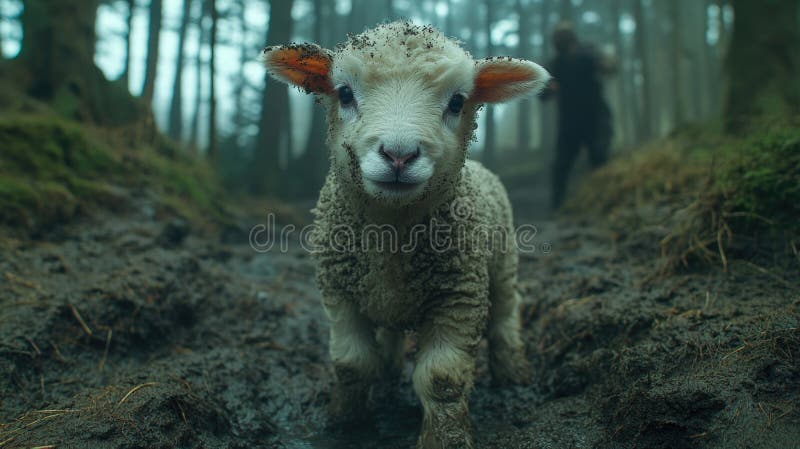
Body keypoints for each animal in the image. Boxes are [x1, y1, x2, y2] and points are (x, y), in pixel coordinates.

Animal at [262, 21, 550, 449]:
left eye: (457, 101)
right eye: (344, 93)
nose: (399, 155)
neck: (392, 230)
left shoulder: (459, 294)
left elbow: (442, 378)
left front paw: (446, 438)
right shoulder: (339, 292)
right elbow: (351, 364)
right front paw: (347, 418)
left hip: (502, 264)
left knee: (505, 313)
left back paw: (513, 371)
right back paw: (389, 367)